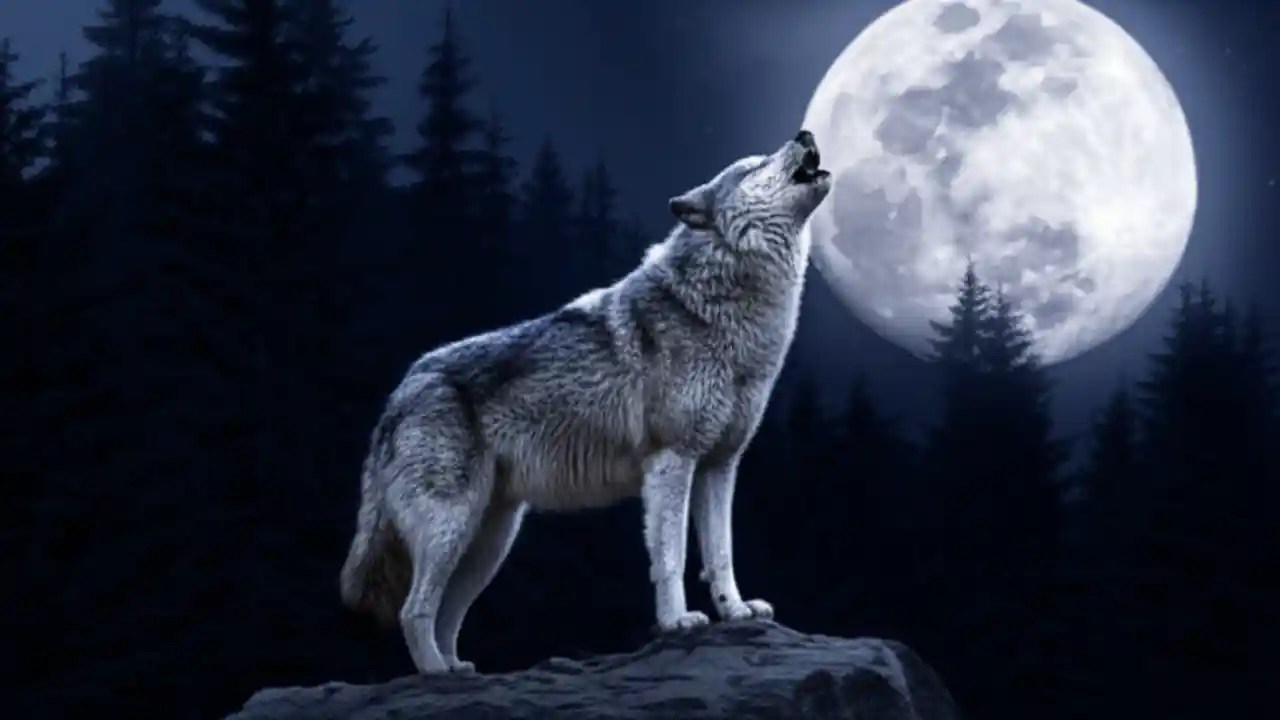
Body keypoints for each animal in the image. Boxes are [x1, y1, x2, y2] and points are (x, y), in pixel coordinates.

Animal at [339, 131, 832, 674]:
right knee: (413, 610)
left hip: (488, 542)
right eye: (754, 166)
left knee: (445, 614)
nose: (805, 133)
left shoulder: (720, 465)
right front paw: (678, 622)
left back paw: (457, 671)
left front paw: (736, 611)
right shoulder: (672, 460)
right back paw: (435, 675)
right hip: (451, 528)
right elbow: (671, 556)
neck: (720, 306)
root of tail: (402, 387)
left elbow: (720, 554)